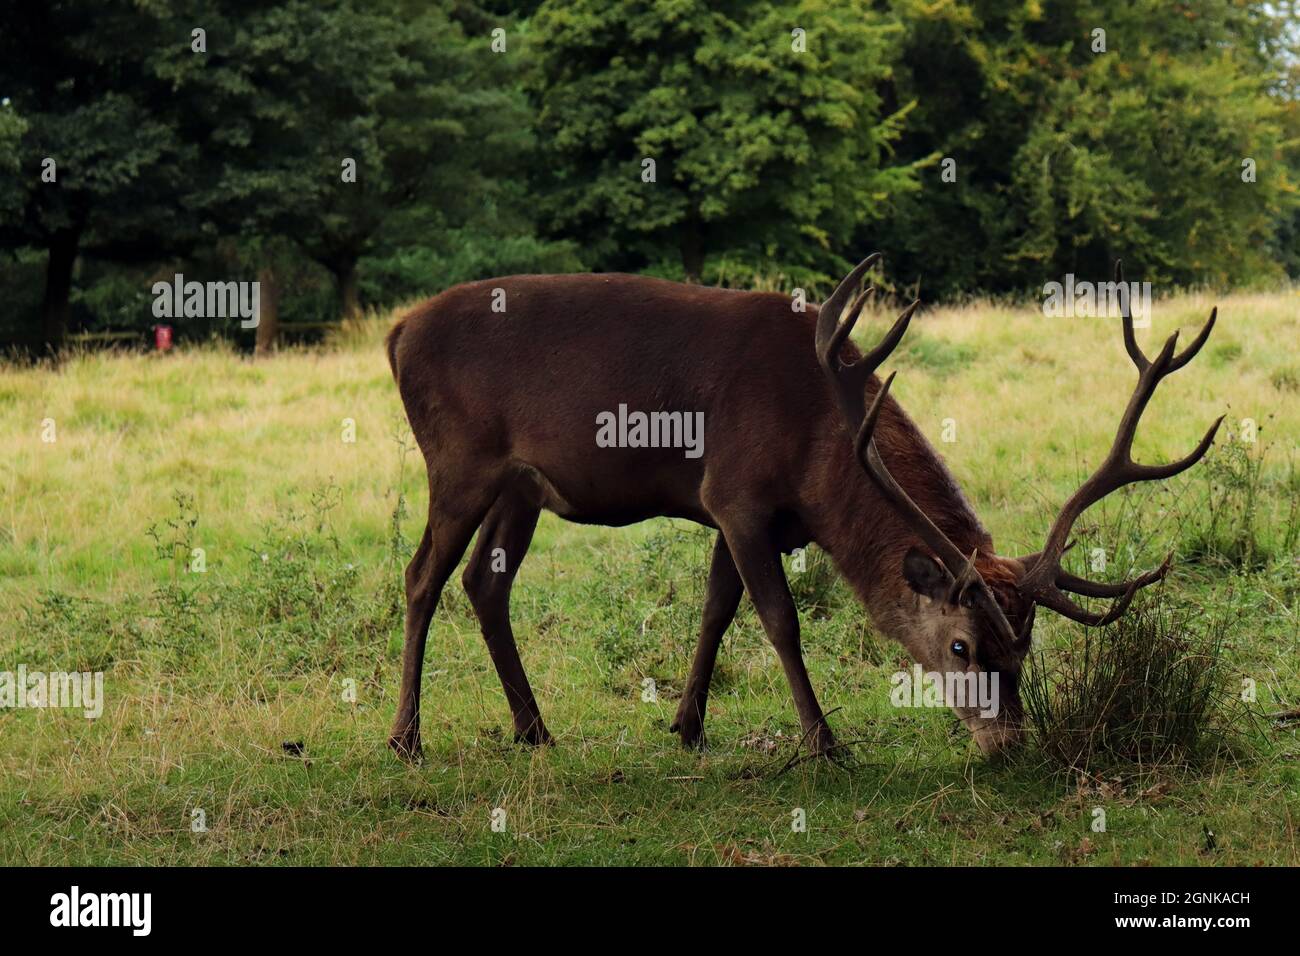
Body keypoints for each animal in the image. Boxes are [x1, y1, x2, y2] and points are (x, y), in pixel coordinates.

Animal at [384, 255, 1221, 761]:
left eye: (1023, 650)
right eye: (960, 646)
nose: (1008, 742)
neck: (819, 452)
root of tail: (397, 331)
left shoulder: (742, 513)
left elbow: (717, 609)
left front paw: (686, 725)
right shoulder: (737, 494)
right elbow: (778, 619)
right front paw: (823, 740)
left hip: (520, 485)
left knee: (484, 583)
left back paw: (533, 728)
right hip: (457, 461)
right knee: (421, 577)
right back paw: (406, 738)